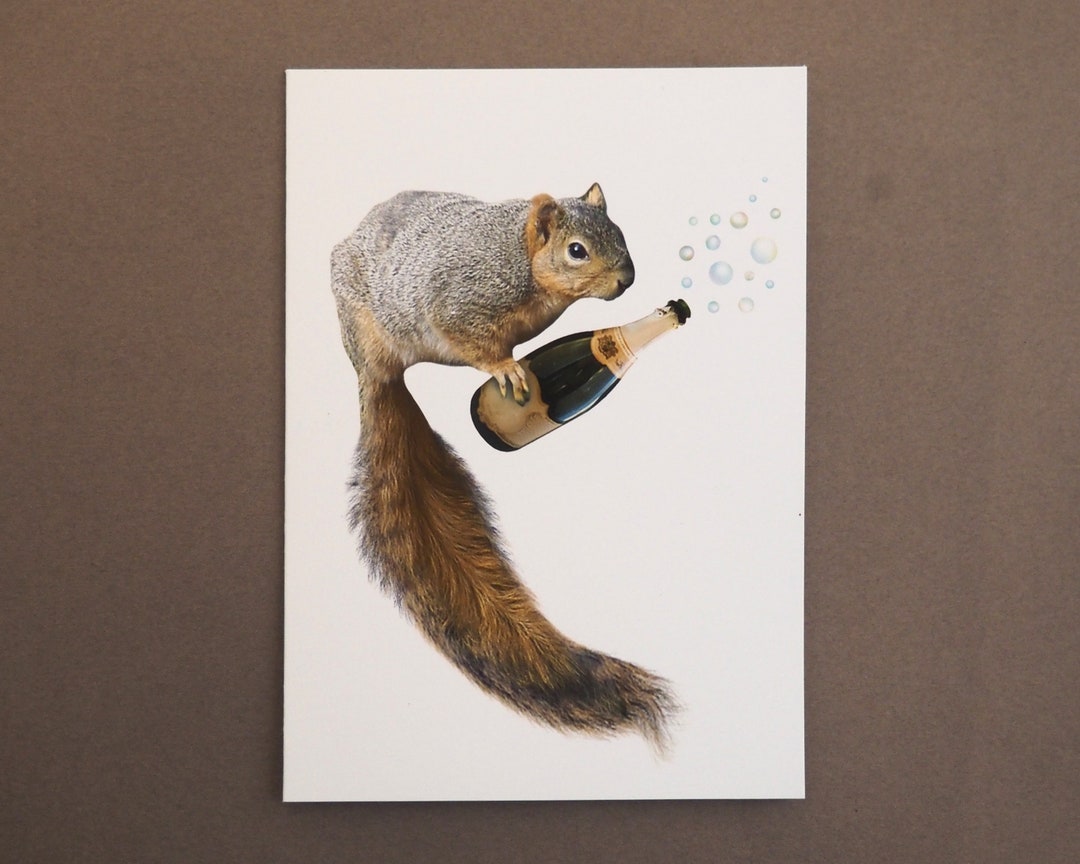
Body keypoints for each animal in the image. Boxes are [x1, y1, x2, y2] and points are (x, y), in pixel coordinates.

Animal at [330, 183, 676, 752]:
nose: (627, 279)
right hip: (369, 327)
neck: (522, 262)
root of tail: (373, 371)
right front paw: (507, 370)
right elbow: (470, 340)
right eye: (577, 250)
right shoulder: (462, 300)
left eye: (620, 232)